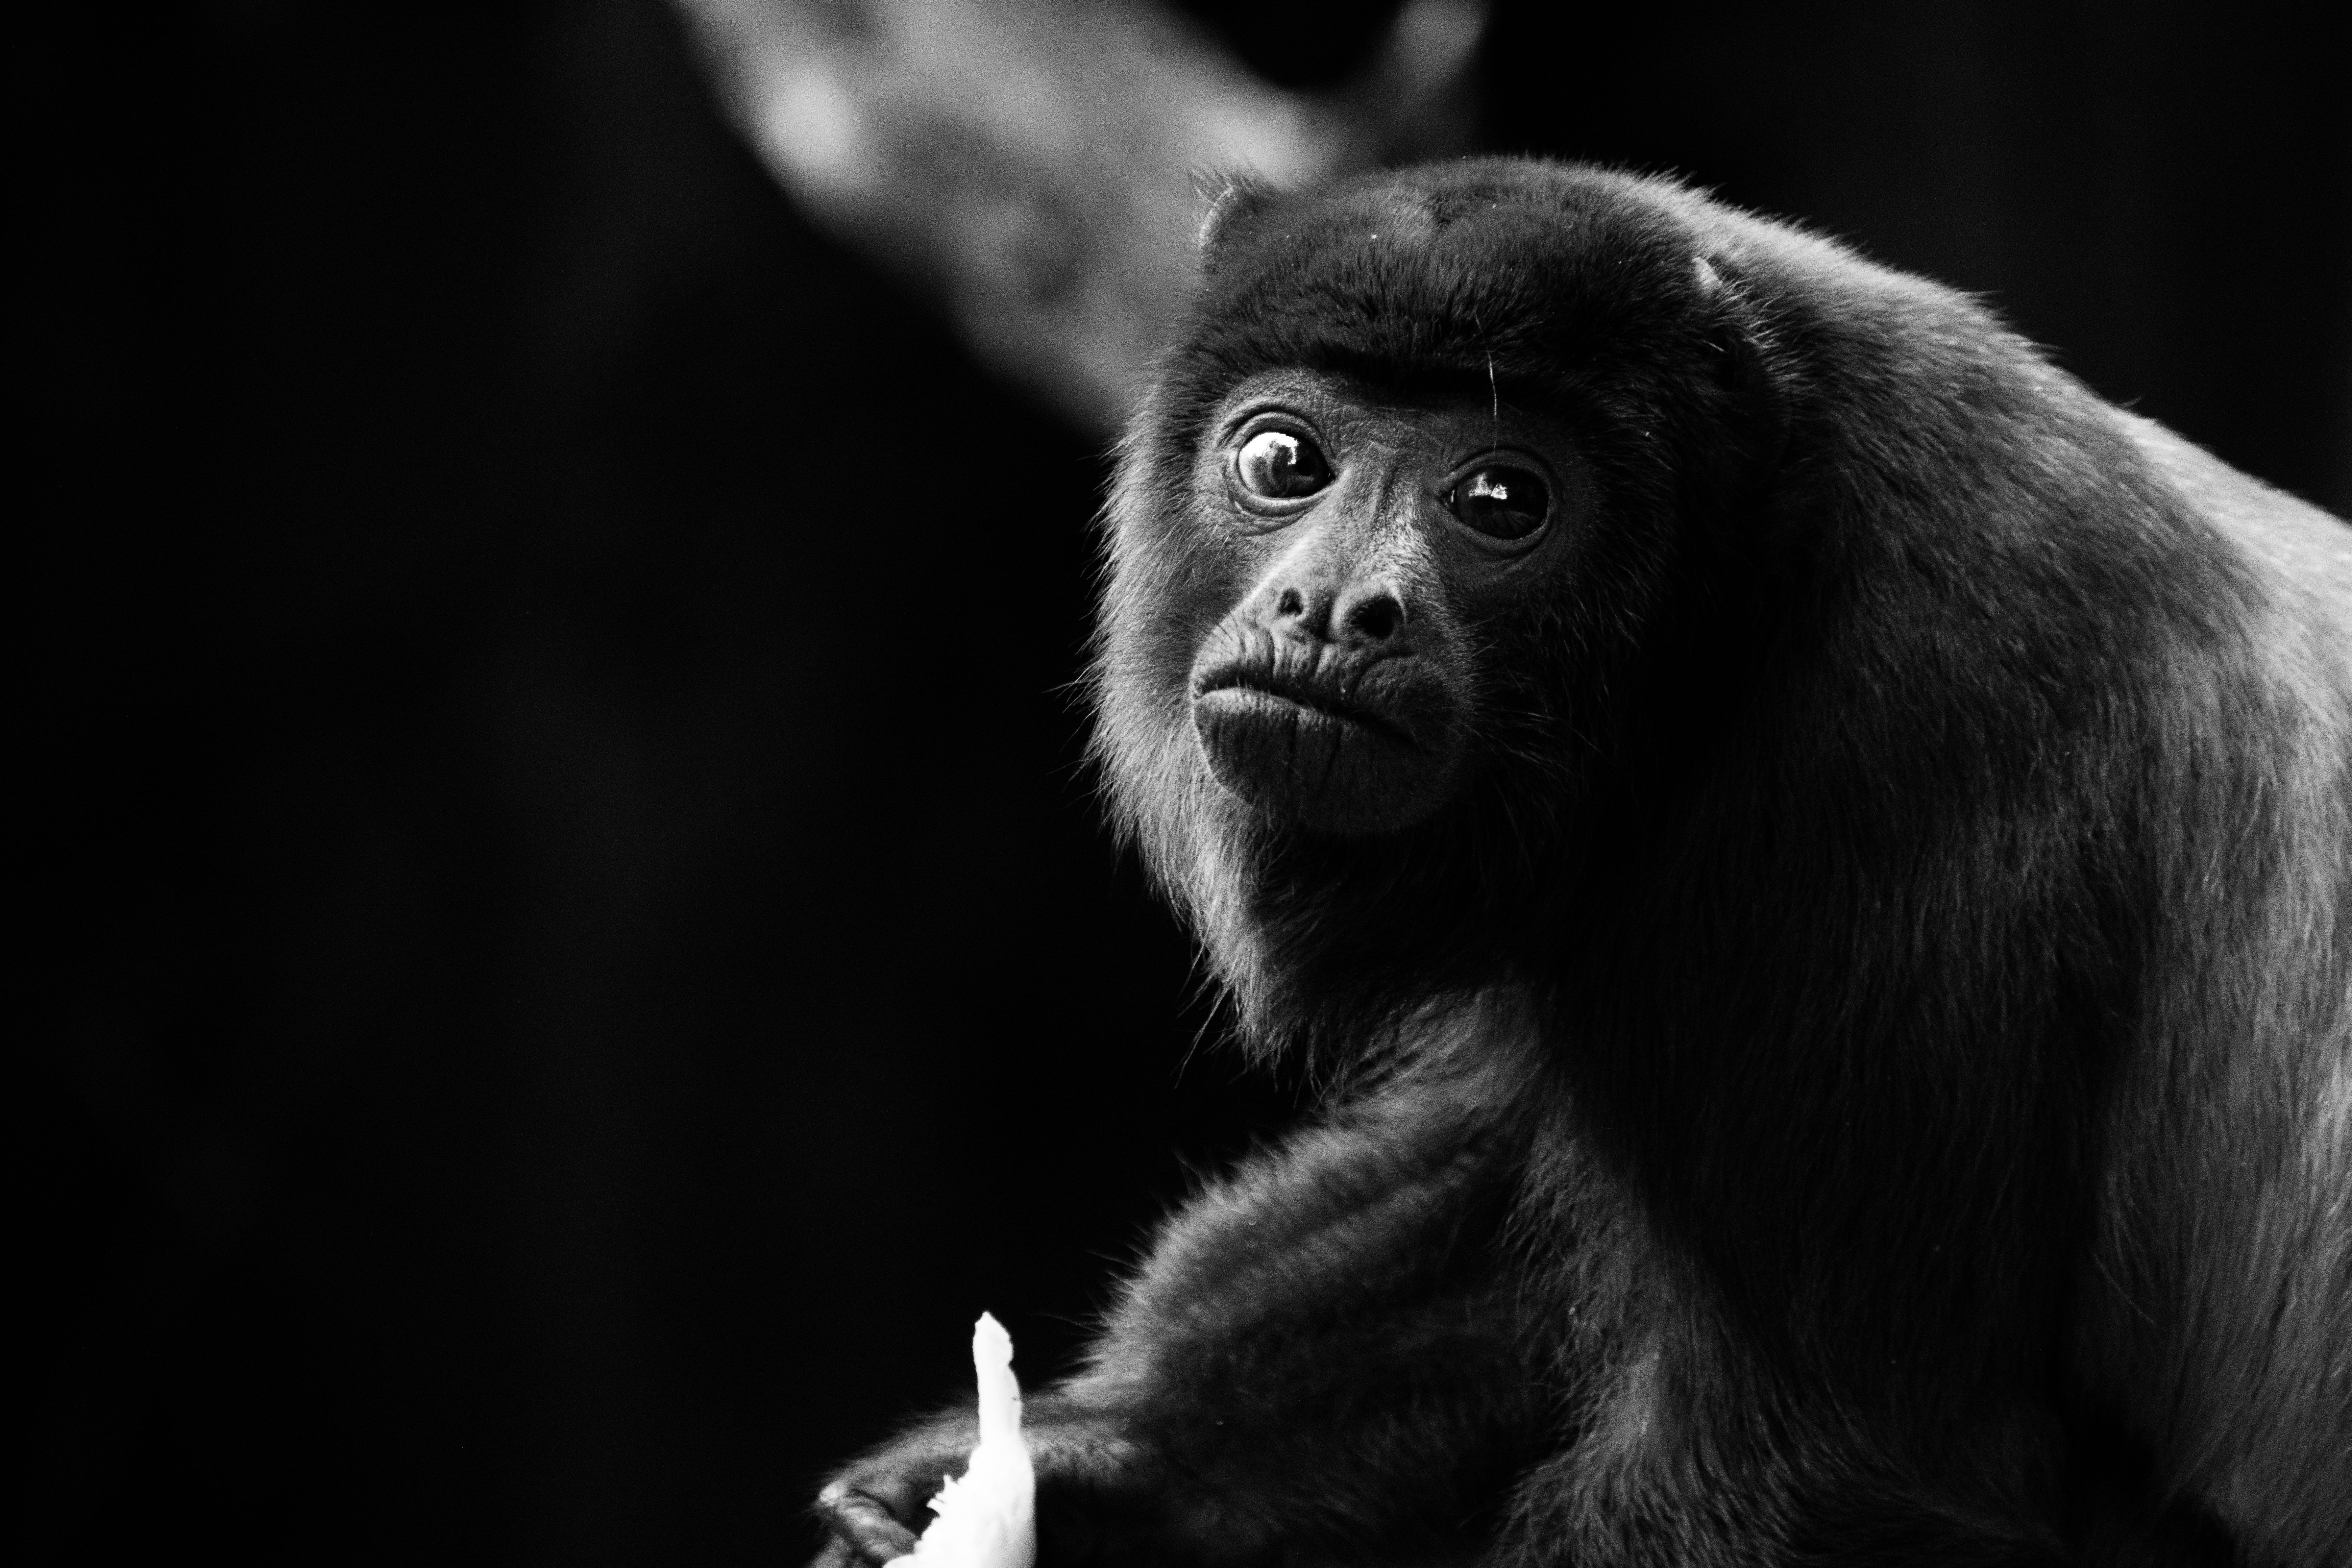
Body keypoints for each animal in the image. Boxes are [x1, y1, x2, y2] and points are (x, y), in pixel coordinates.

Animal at [812, 160, 2352, 1566]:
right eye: (1281, 462)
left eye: (1504, 497)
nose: (1335, 608)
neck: (1743, 589)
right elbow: (1504, 1206)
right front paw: (1092, 1469)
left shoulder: (1916, 723)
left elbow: (1850, 1449)